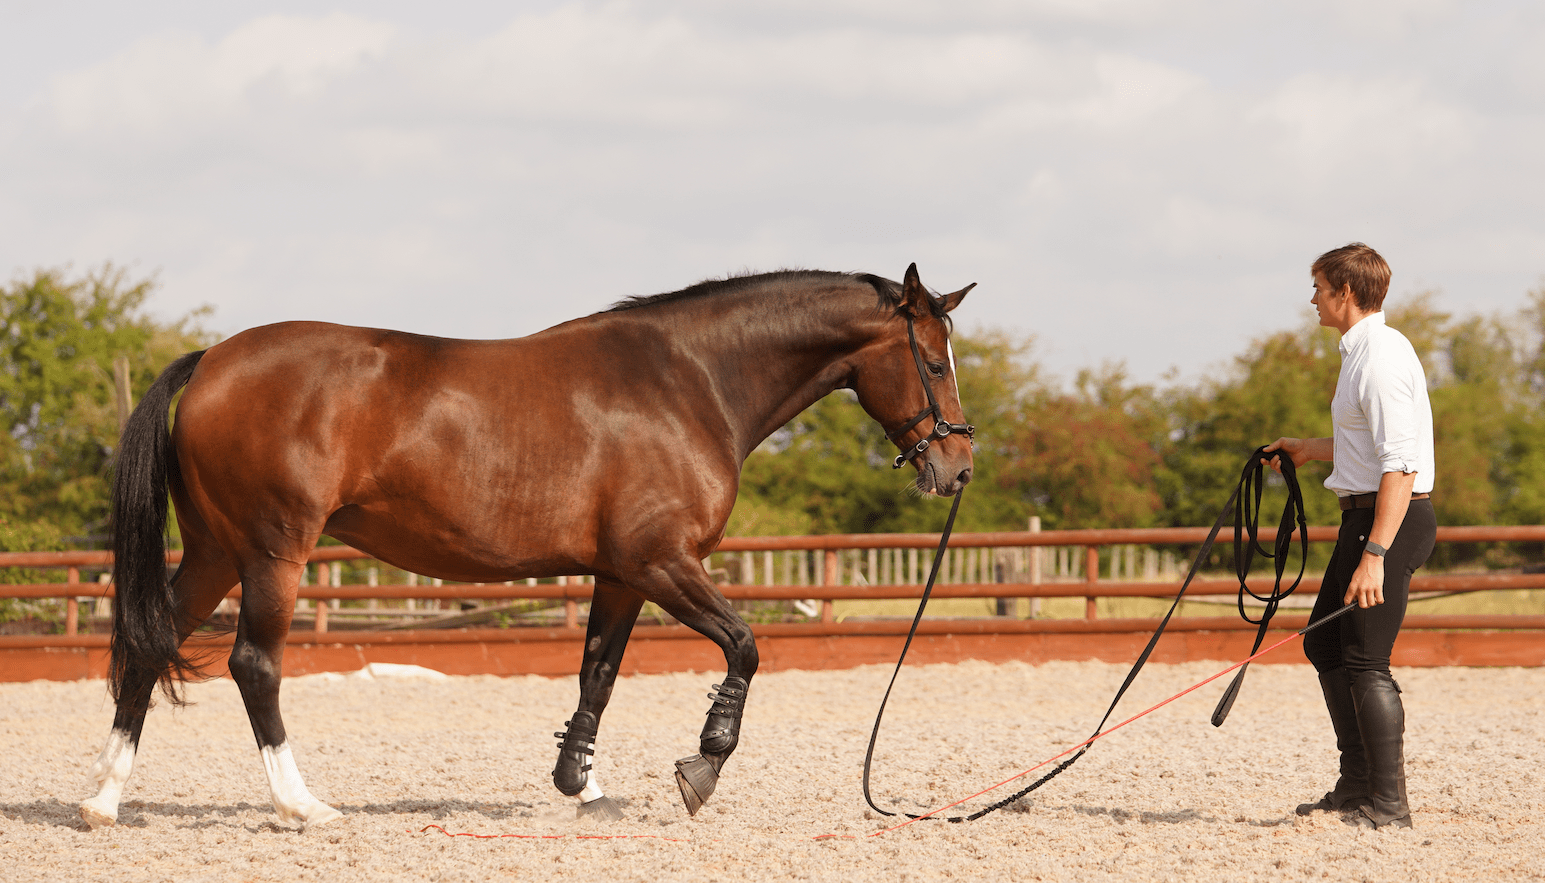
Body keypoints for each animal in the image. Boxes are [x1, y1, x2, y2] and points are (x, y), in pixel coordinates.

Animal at [80, 263, 975, 829]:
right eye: (934, 362)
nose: (957, 466)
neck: (687, 381)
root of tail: (211, 361)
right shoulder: (663, 562)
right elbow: (745, 646)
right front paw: (701, 767)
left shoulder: (621, 575)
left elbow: (597, 675)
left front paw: (581, 785)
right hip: (274, 555)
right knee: (254, 666)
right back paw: (302, 805)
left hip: (214, 552)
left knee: (150, 642)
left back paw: (102, 801)